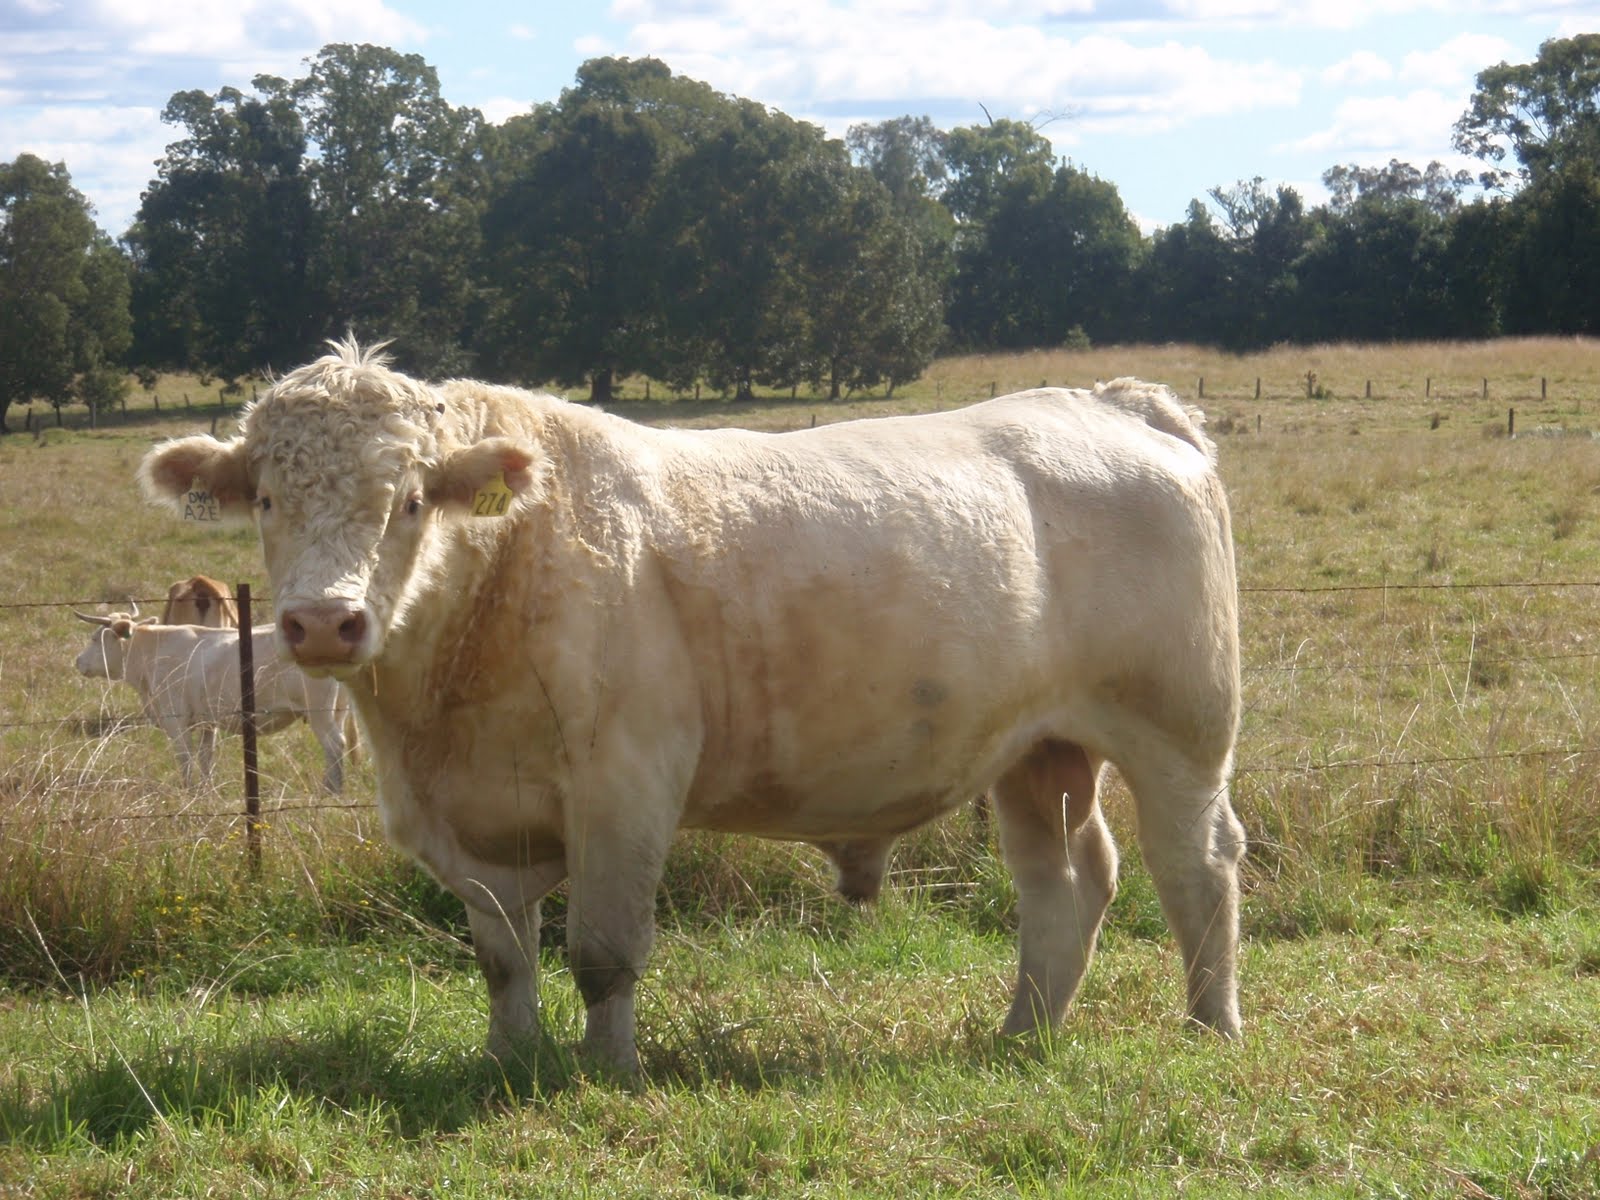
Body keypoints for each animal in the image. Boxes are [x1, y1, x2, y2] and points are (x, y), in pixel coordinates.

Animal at [74, 612, 351, 794]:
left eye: (95, 638)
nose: (78, 661)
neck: (152, 653)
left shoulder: (176, 721)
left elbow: (185, 758)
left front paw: (188, 790)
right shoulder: (208, 722)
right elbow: (206, 757)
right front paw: (207, 790)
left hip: (320, 714)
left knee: (334, 745)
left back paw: (331, 791)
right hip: (338, 712)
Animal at [138, 339, 1245, 1074]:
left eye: (409, 500)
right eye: (267, 498)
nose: (325, 623)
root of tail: (1112, 401)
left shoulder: (625, 785)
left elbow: (600, 950)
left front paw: (606, 1071)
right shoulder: (460, 818)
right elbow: (502, 957)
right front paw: (510, 1059)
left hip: (1181, 731)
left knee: (1194, 867)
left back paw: (1209, 1027)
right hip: (1036, 749)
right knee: (1066, 879)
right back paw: (1024, 1033)